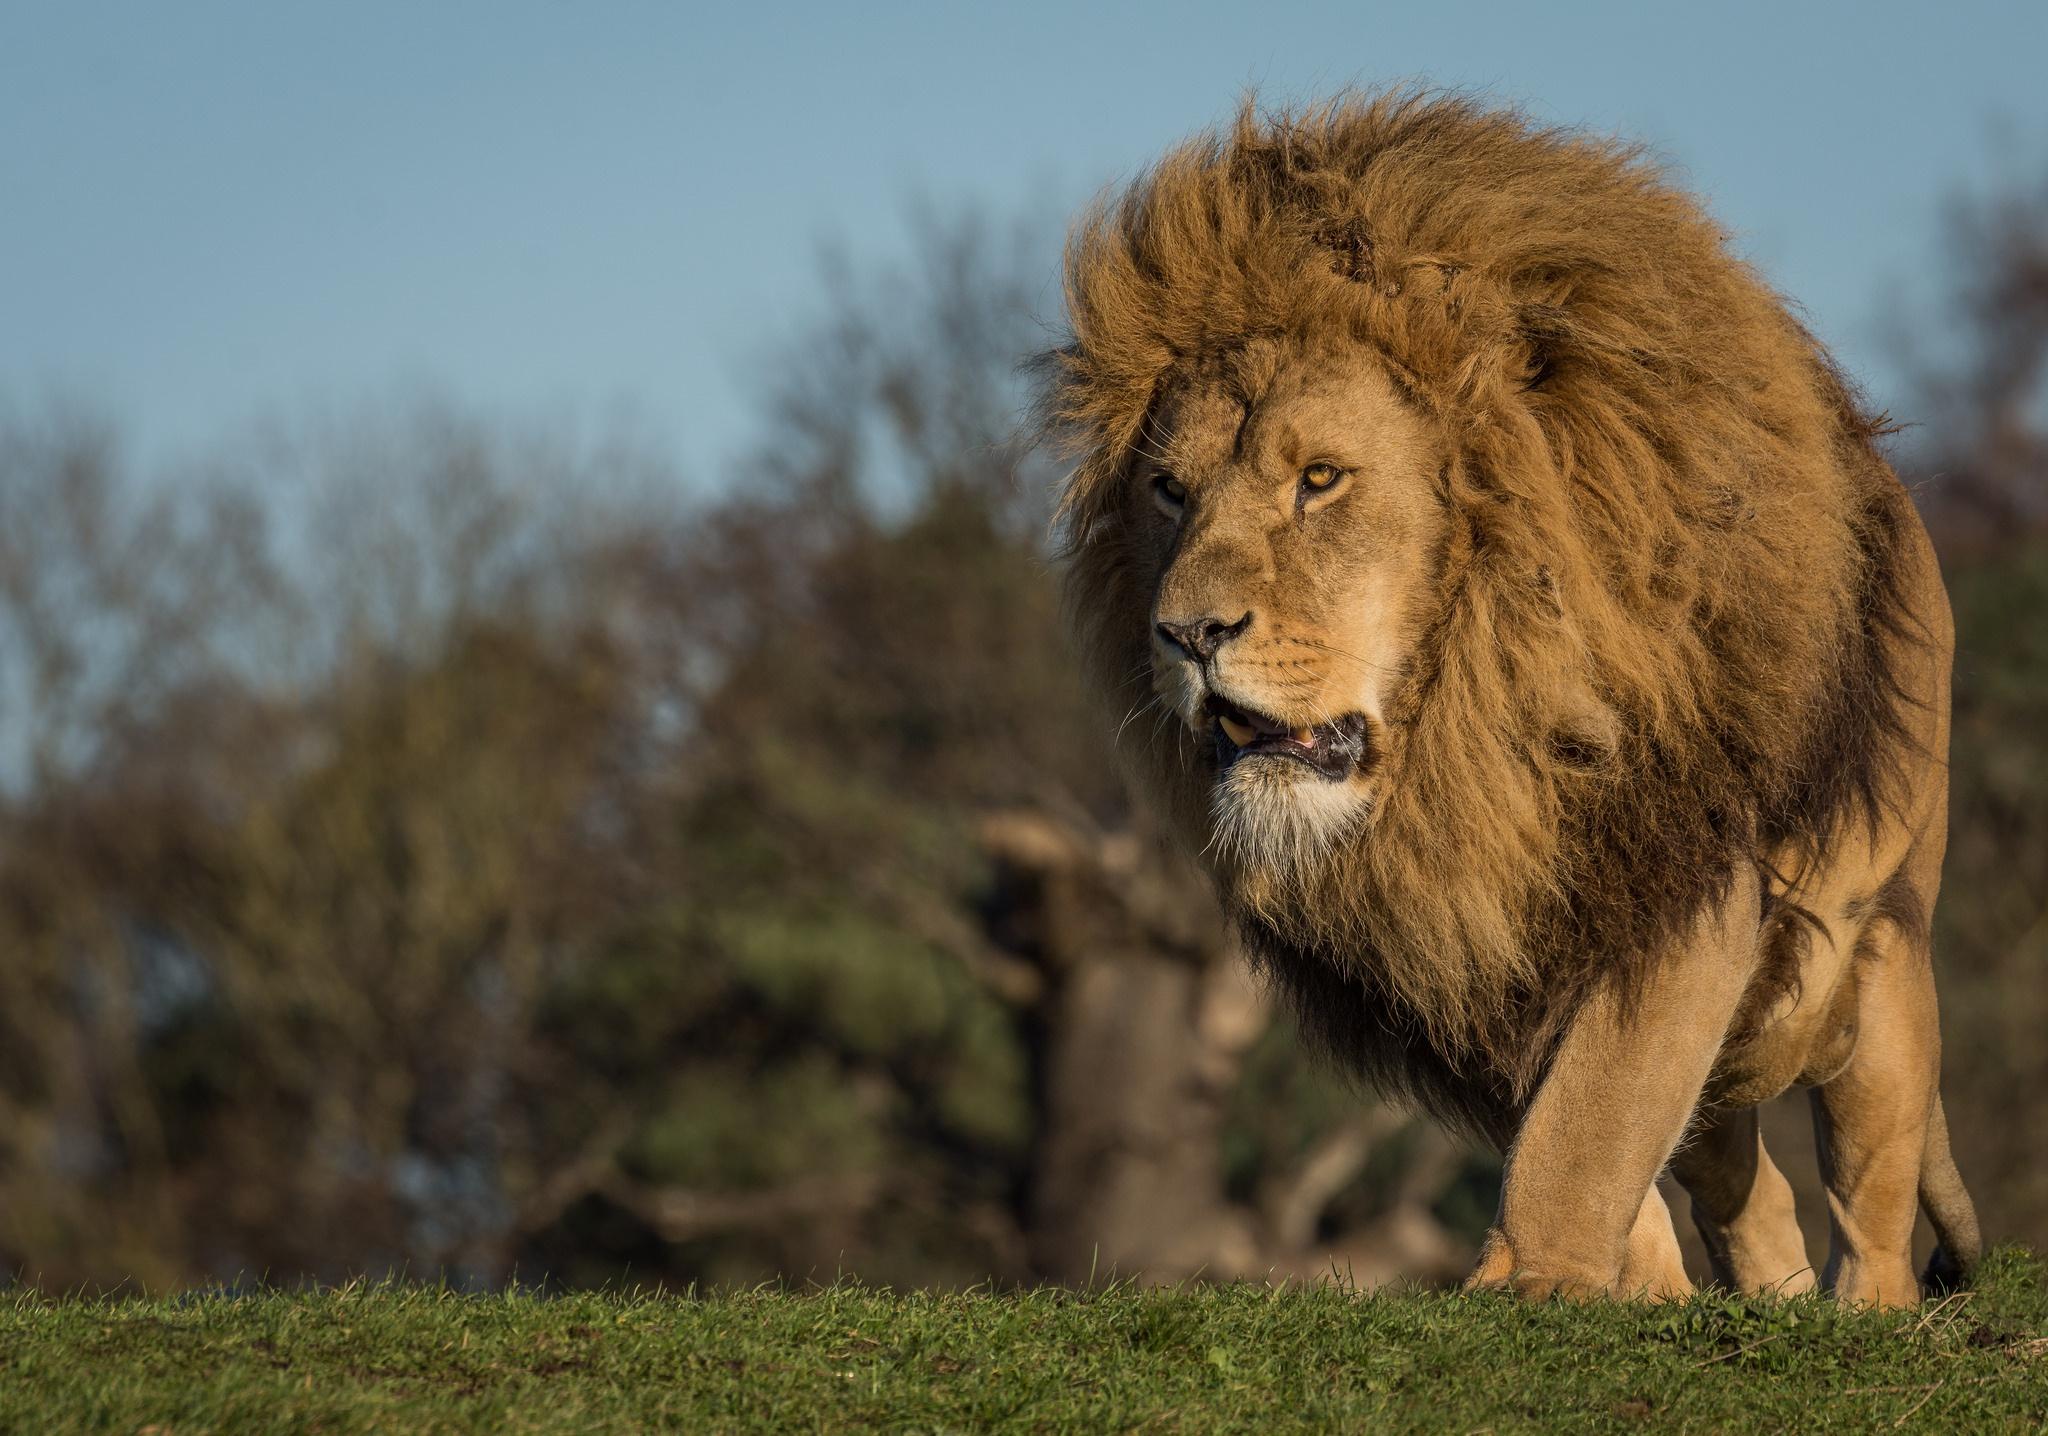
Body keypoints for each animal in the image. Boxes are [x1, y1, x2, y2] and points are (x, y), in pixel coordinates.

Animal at [1036, 93, 1980, 1306]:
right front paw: (1617, 1291)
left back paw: (1865, 1311)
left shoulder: (1671, 872)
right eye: (1168, 490)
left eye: (1319, 479)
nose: (1187, 633)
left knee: (1870, 1185)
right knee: (1743, 1182)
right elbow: (1578, 1123)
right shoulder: (1464, 956)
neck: (1468, 740)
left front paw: (1538, 1276)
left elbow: (1595, 1108)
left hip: (1880, 954)